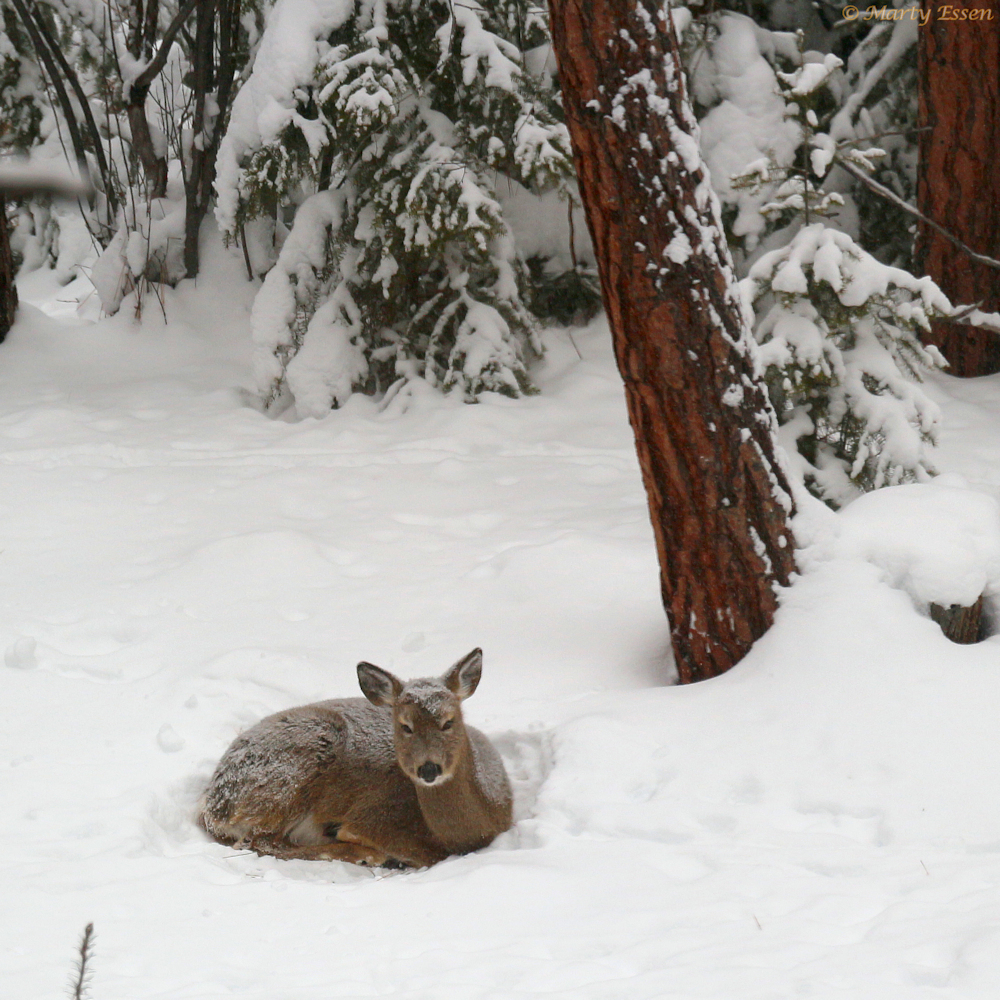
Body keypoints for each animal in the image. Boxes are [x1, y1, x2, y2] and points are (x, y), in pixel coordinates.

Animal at [199, 648, 513, 868]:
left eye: (449, 721)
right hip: (296, 767)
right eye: (404, 725)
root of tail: (215, 804)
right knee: (260, 841)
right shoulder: (374, 814)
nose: (429, 768)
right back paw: (366, 855)